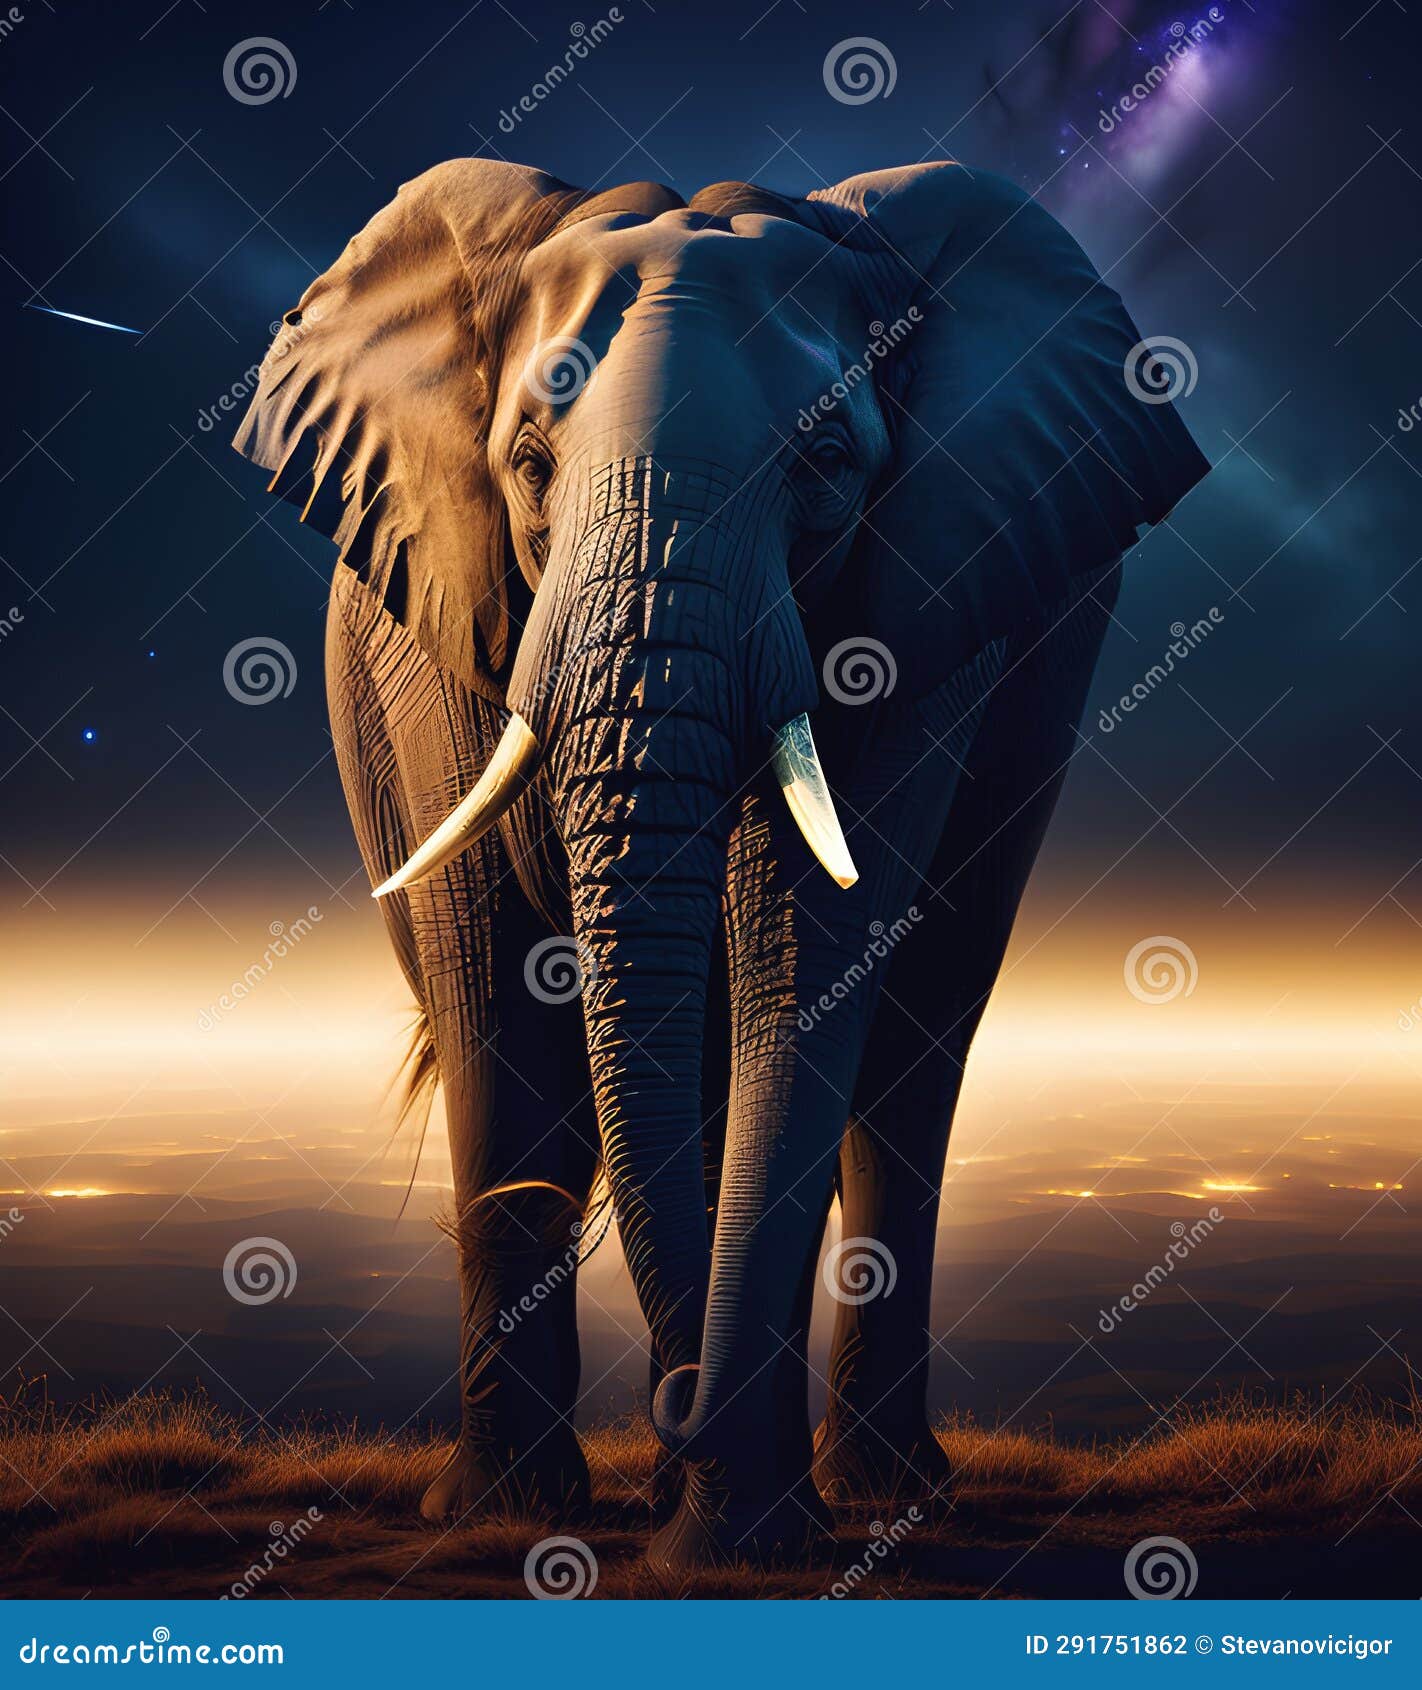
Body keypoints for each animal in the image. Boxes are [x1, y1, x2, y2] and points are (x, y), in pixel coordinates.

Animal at [234, 157, 1207, 1570]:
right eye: (528, 466)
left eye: (826, 463)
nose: (685, 1407)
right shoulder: (445, 617)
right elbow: (503, 1003)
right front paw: (508, 1515)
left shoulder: (922, 607)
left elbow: (802, 973)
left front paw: (739, 1539)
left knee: (914, 1050)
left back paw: (876, 1489)